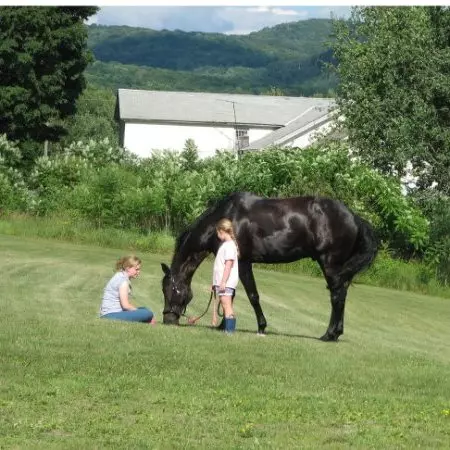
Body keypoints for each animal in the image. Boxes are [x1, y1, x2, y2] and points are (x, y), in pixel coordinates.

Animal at [160, 191, 378, 342]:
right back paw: (336, 333)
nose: (168, 320)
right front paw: (224, 324)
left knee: (337, 297)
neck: (228, 218)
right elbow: (230, 294)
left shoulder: (244, 263)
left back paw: (329, 334)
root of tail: (354, 217)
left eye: (172, 289)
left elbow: (251, 296)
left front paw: (261, 326)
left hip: (330, 264)